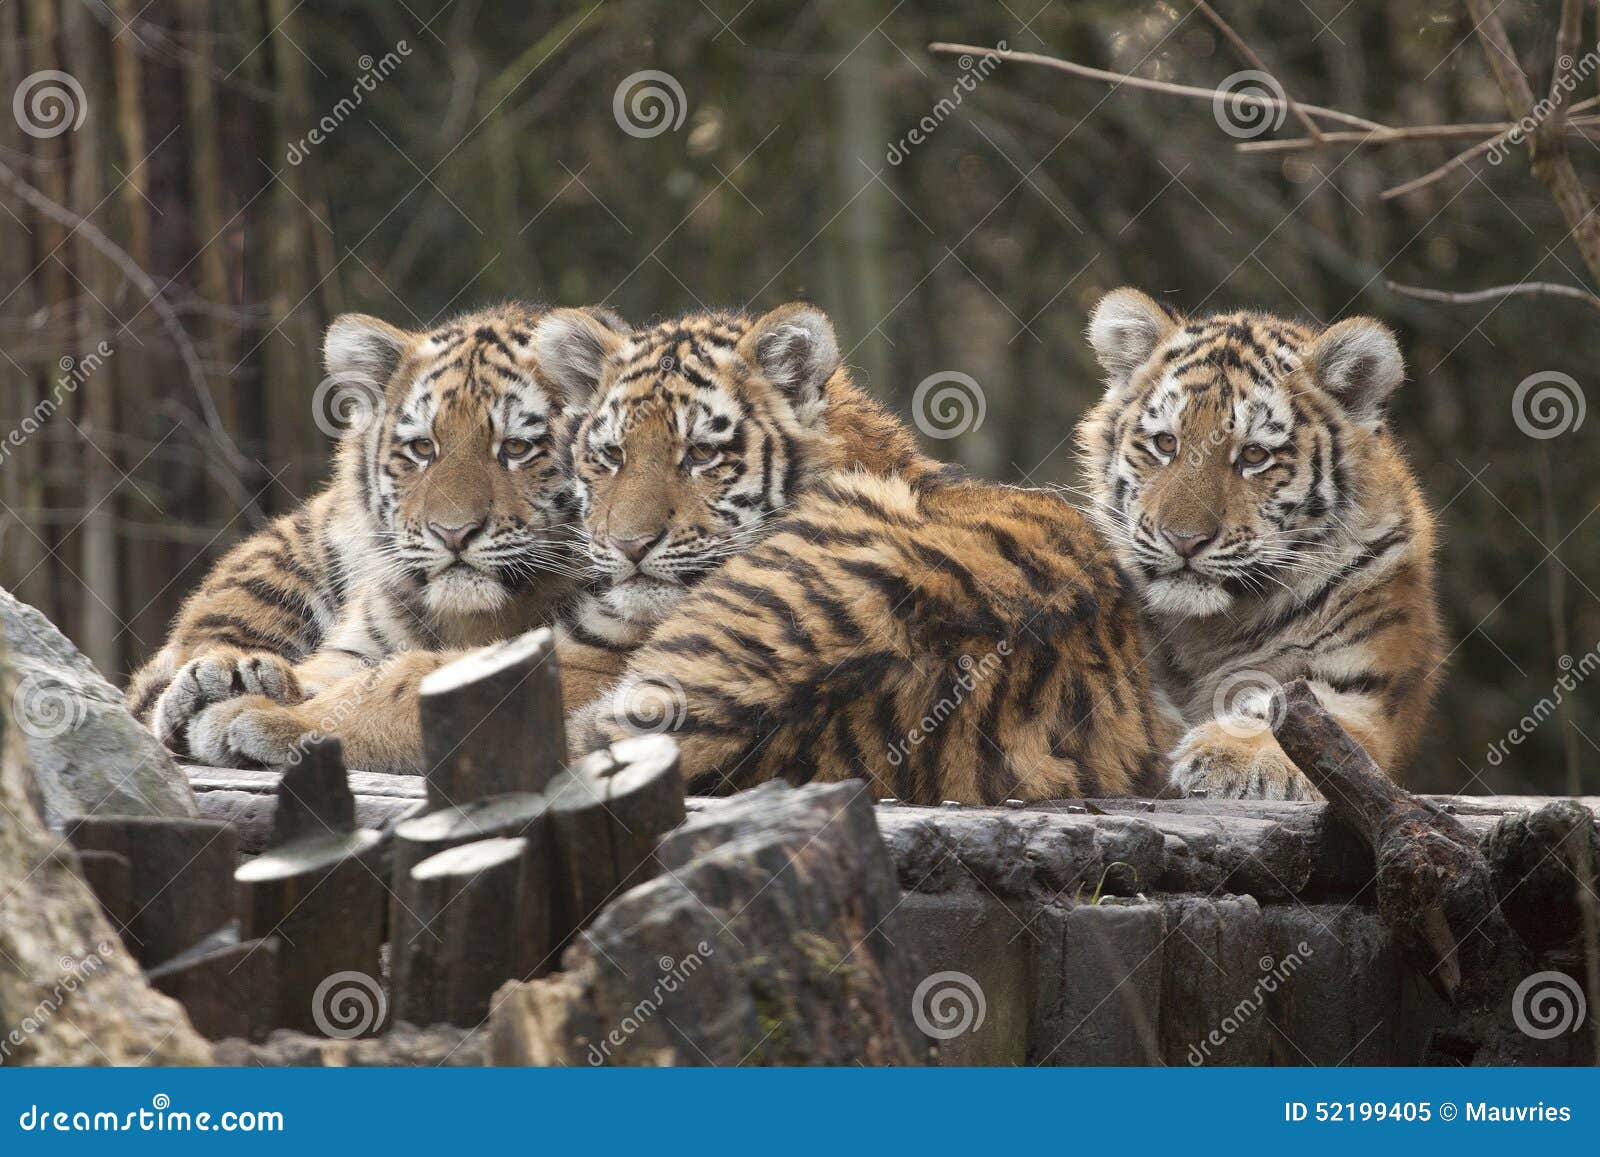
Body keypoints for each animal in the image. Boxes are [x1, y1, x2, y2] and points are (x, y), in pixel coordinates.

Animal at [126, 302, 625, 772]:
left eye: (518, 448)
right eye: (423, 448)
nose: (453, 534)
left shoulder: (594, 656)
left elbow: (393, 690)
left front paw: (253, 714)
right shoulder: (360, 642)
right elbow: (335, 673)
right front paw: (233, 681)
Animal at [1076, 287, 1443, 800]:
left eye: (1254, 455)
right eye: (1166, 444)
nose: (1183, 540)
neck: (1206, 629)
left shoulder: (1359, 689)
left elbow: (1288, 712)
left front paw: (1233, 756)